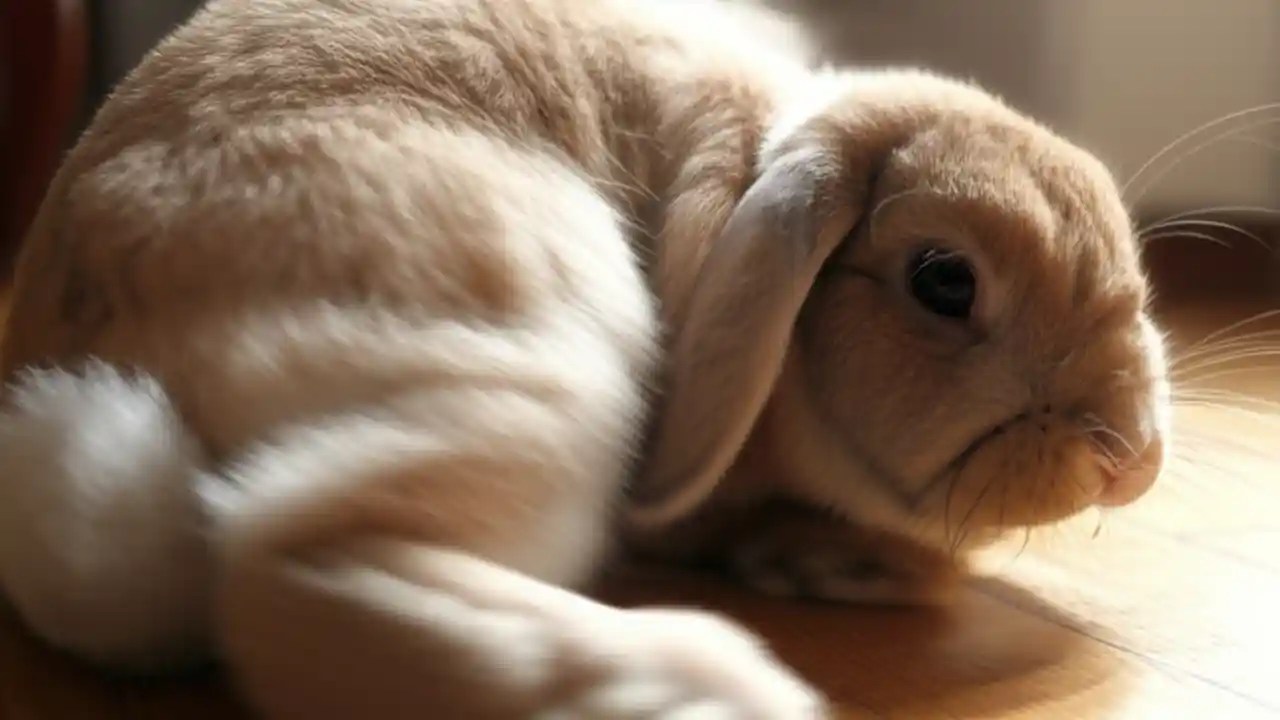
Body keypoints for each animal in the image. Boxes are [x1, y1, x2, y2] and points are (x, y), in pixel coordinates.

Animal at [0, 0, 1171, 717]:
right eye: (943, 281)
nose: (1130, 457)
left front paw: (826, 563)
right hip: (549, 325)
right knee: (287, 561)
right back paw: (708, 686)